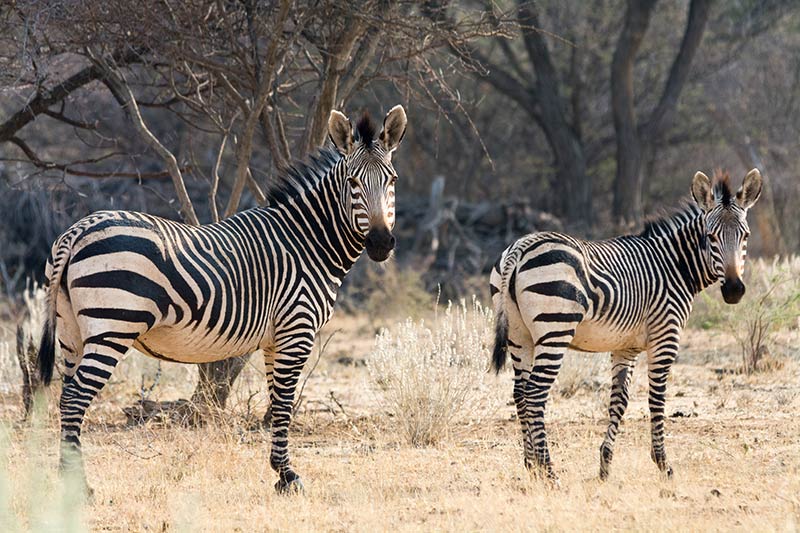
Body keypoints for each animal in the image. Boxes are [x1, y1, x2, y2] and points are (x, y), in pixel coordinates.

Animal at [37, 105, 408, 494]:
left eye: (392, 180)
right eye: (352, 183)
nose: (381, 243)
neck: (307, 242)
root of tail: (77, 230)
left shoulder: (275, 339)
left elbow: (276, 400)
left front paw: (279, 472)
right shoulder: (296, 330)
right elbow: (284, 403)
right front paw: (288, 476)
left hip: (70, 331)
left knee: (65, 396)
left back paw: (67, 482)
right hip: (112, 324)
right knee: (76, 397)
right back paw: (79, 487)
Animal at [490, 169, 762, 481]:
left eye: (745, 236)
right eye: (710, 236)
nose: (734, 290)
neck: (674, 266)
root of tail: (519, 247)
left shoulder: (626, 347)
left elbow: (619, 400)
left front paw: (605, 465)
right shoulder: (665, 337)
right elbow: (657, 399)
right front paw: (663, 464)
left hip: (519, 335)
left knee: (520, 393)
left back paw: (531, 466)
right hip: (555, 328)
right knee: (535, 394)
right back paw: (548, 471)